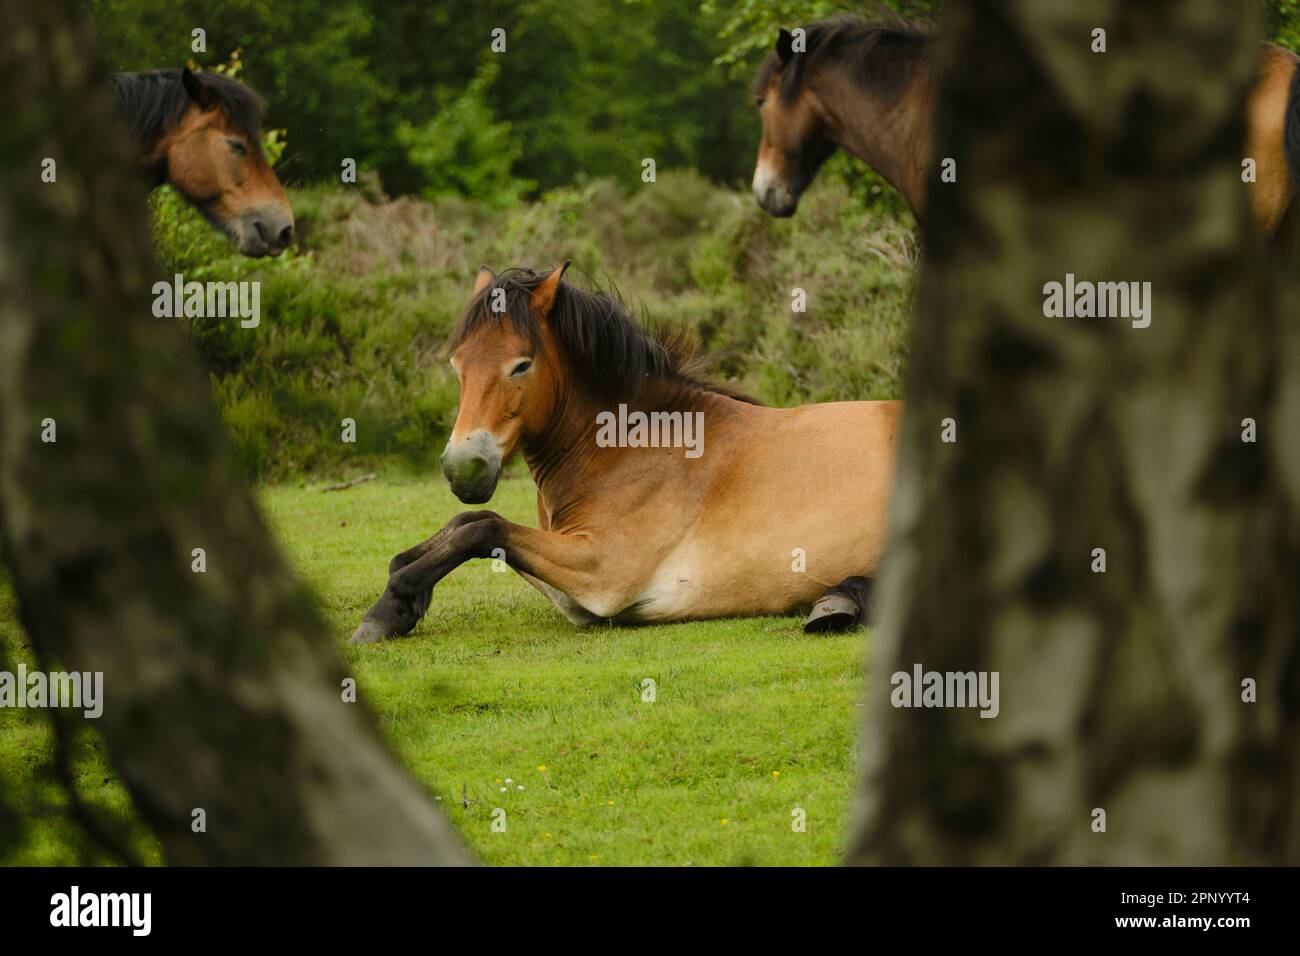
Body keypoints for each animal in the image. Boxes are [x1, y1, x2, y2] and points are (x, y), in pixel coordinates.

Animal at [349, 263, 901, 643]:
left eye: (522, 365)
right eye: (457, 364)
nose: (464, 468)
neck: (633, 447)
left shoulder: (602, 573)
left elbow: (484, 530)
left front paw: (387, 610)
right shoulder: (576, 594)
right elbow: (469, 524)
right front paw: (401, 595)